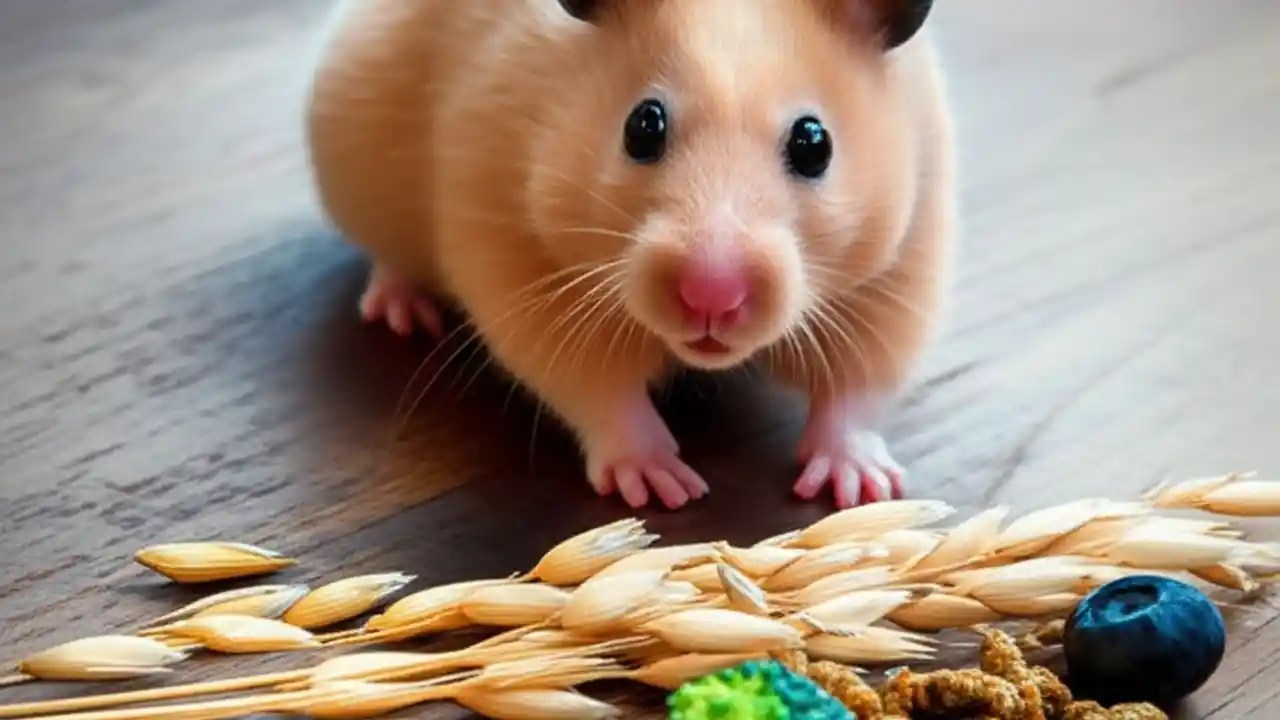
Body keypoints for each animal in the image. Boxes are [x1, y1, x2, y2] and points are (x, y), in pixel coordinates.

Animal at [305, 0, 956, 510]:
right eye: (643, 126)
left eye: (814, 143)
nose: (711, 295)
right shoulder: (523, 266)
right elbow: (600, 389)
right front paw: (664, 487)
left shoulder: (900, 269)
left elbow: (856, 387)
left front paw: (861, 489)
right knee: (388, 260)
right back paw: (402, 312)